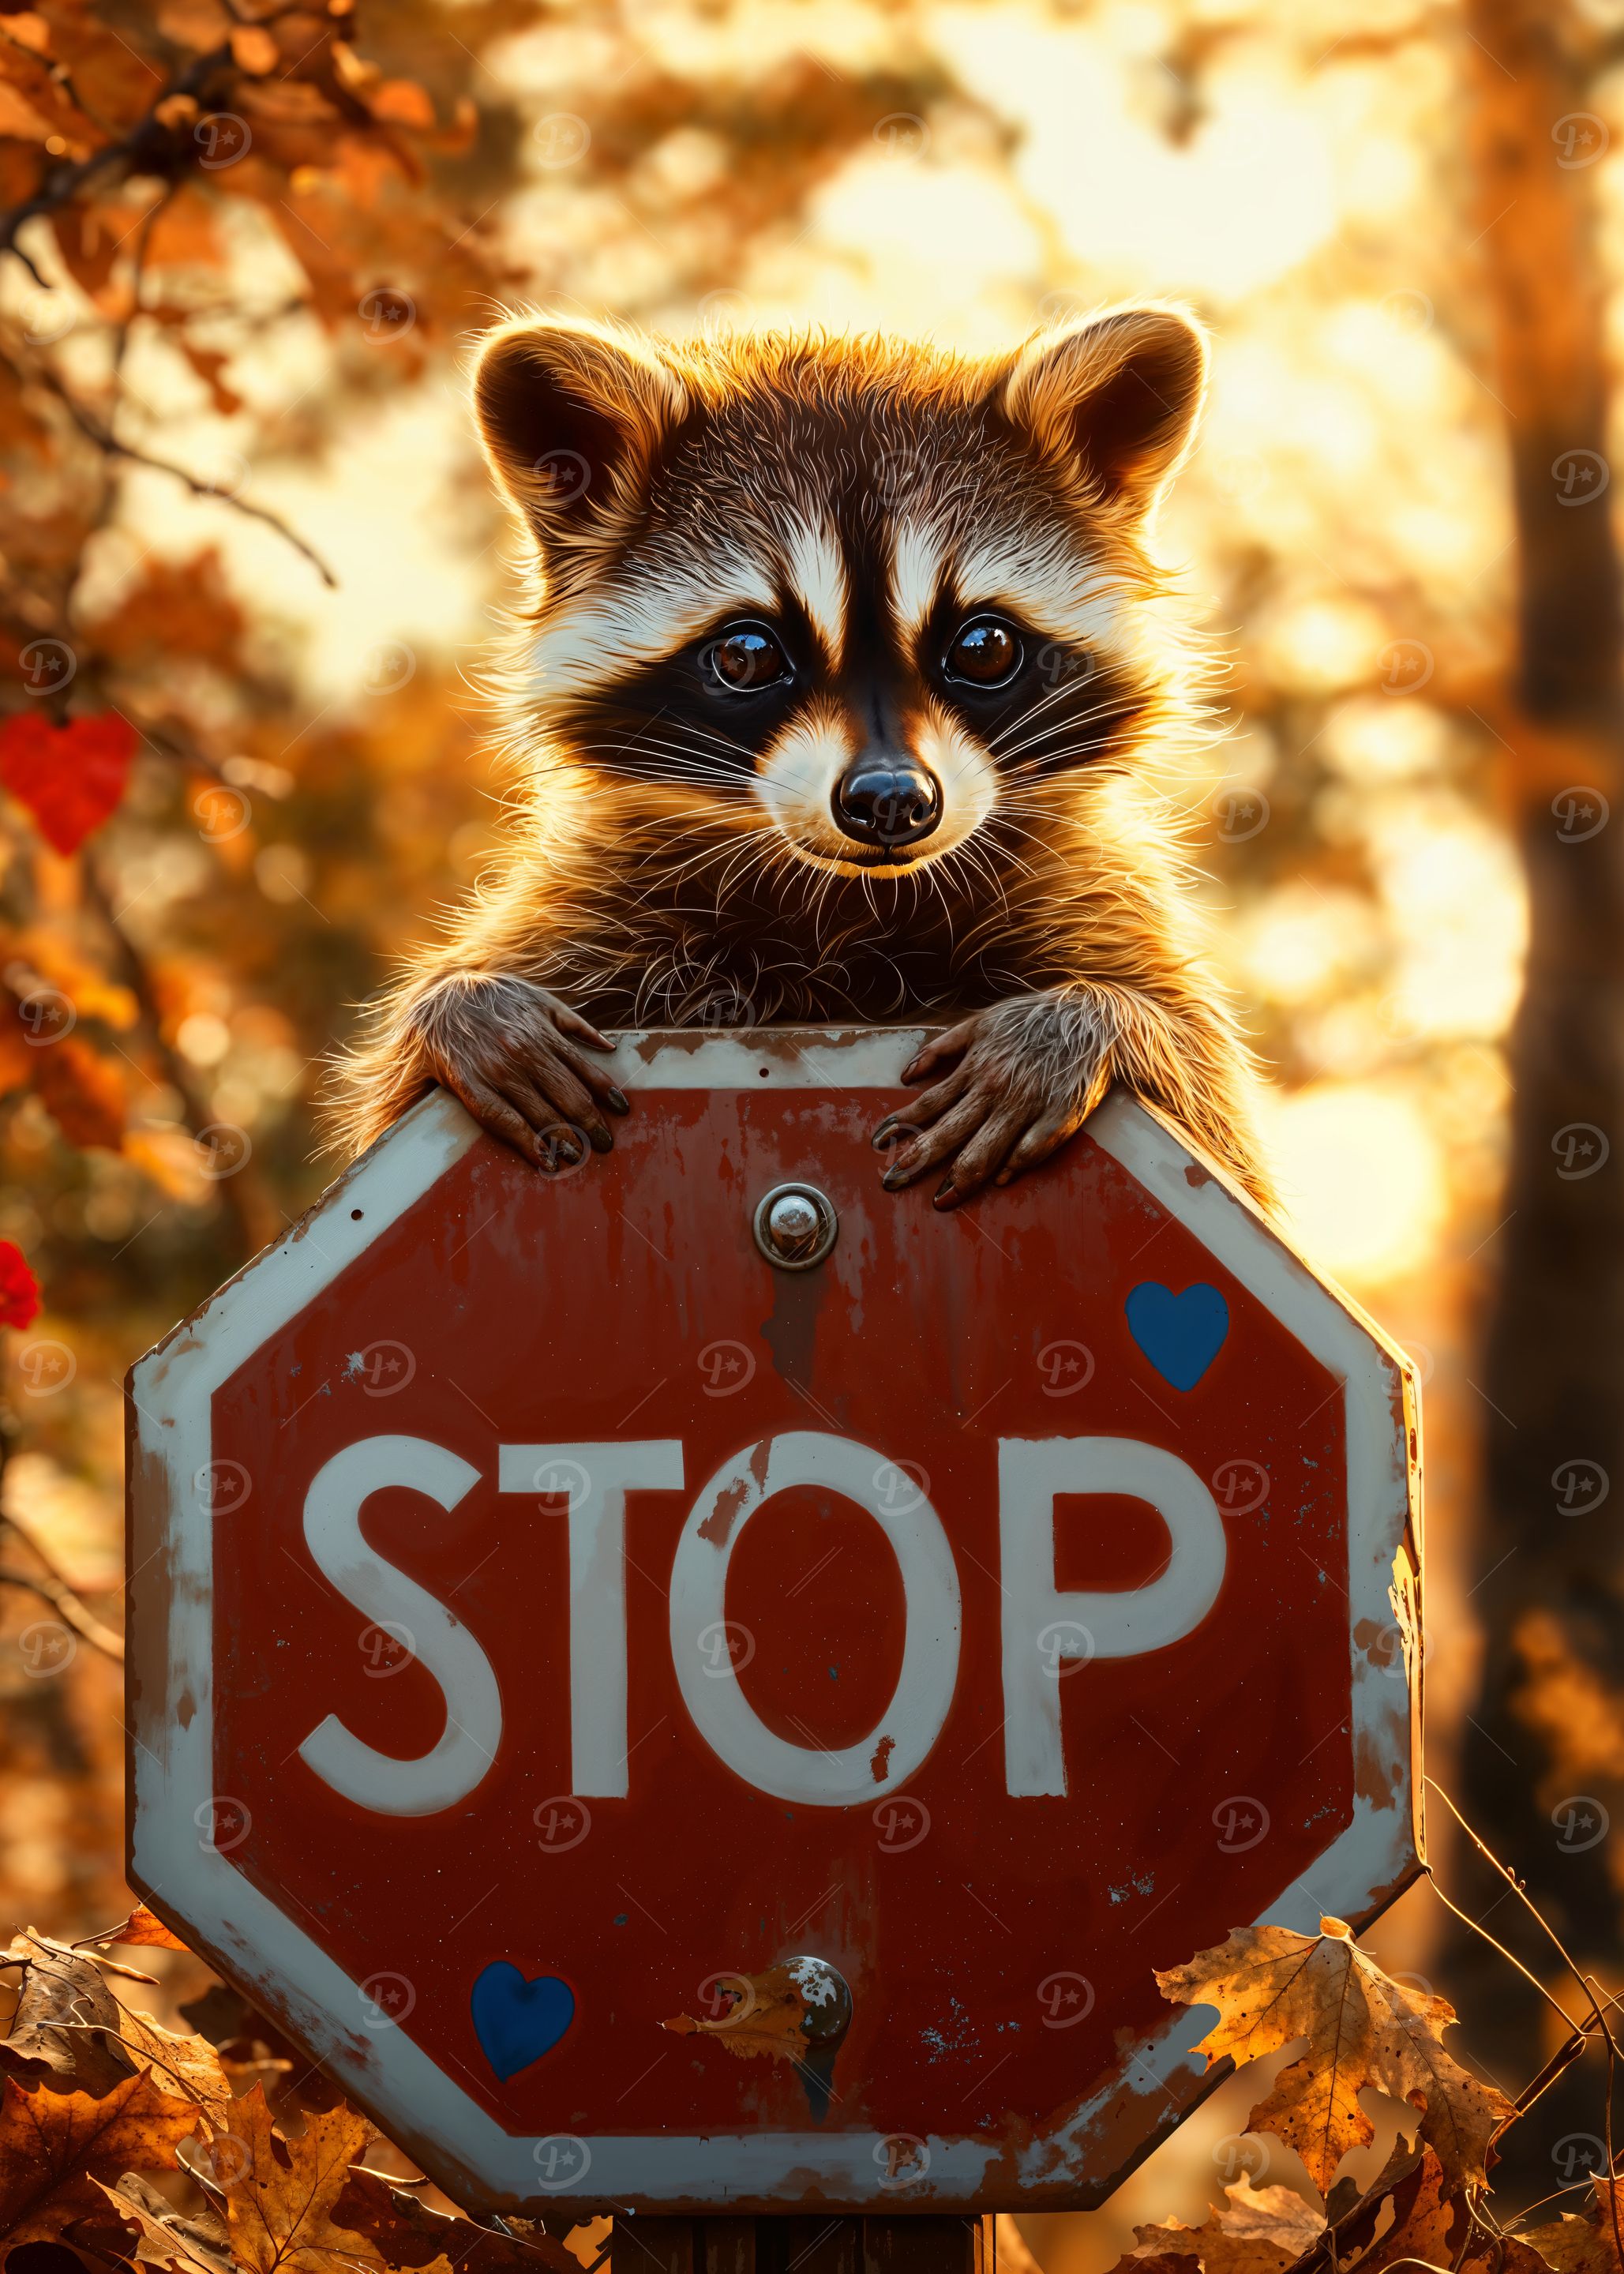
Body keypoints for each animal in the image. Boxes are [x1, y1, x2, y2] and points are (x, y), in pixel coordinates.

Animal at [327, 307, 1274, 1212]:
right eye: (747, 655)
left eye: (984, 647)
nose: (891, 801)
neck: (852, 900)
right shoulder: (600, 903)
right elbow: (402, 1081)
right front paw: (465, 1010)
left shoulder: (1089, 893)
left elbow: (1212, 1104)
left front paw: (1089, 1022)